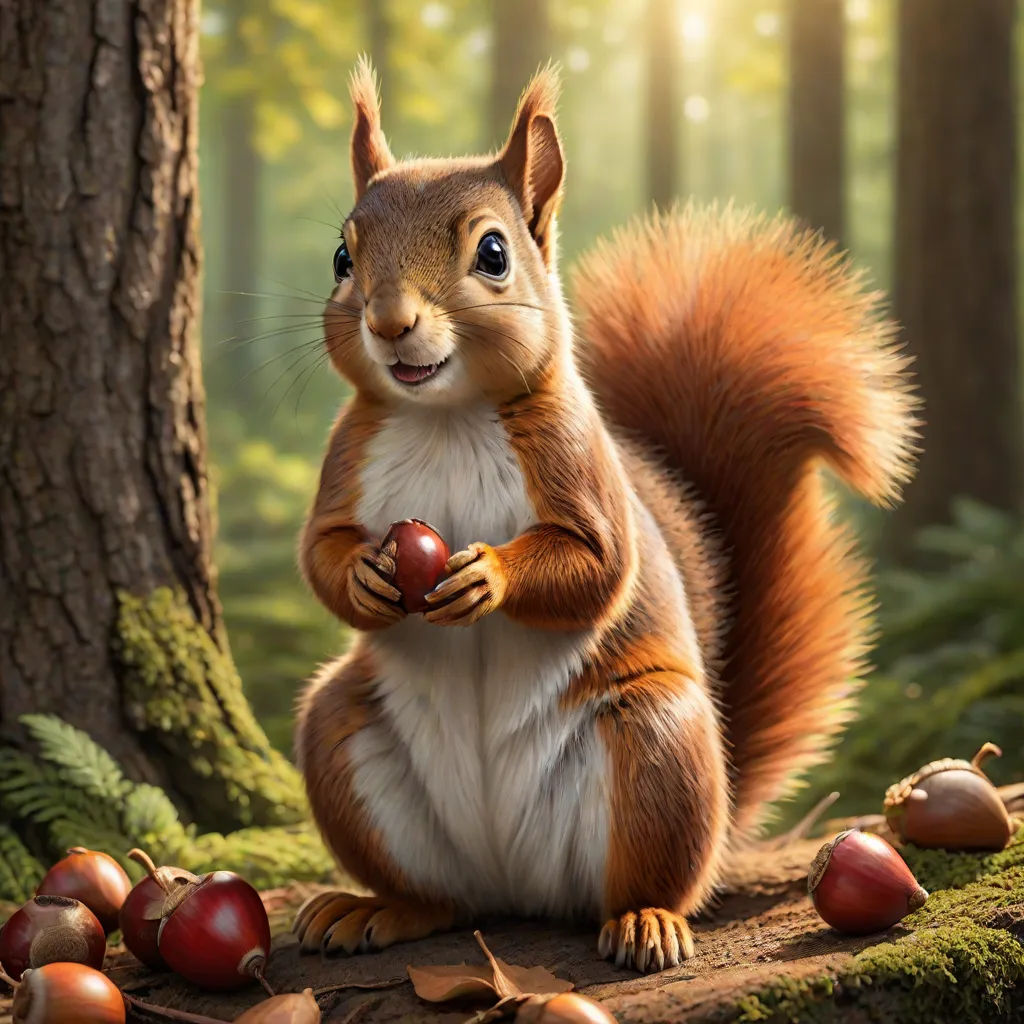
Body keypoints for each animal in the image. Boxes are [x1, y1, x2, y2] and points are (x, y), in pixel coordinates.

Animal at [293, 59, 918, 973]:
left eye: (493, 254)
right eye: (342, 255)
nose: (389, 322)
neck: (445, 415)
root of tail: (513, 886)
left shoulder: (576, 460)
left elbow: (596, 565)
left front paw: (489, 574)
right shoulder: (348, 456)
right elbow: (321, 551)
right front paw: (369, 576)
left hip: (658, 744)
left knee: (644, 880)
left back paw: (645, 921)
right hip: (342, 735)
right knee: (439, 896)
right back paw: (376, 908)